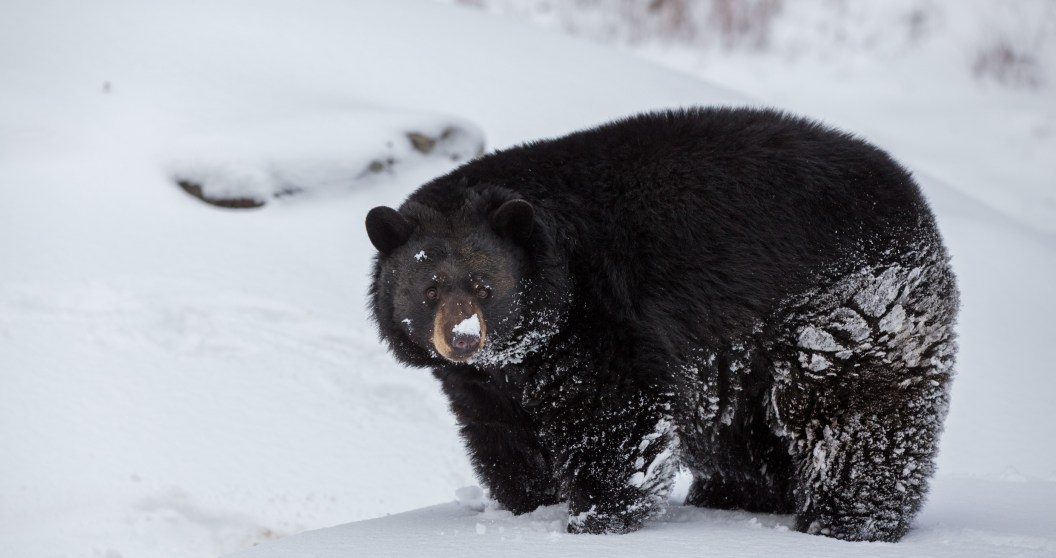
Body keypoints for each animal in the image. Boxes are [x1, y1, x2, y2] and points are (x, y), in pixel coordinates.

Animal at [365, 107, 958, 542]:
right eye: (430, 288)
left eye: (485, 287)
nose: (462, 338)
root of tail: (914, 196)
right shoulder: (479, 382)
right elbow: (500, 436)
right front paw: (529, 509)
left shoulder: (600, 314)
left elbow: (615, 414)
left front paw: (596, 519)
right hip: (744, 355)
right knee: (741, 433)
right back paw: (734, 497)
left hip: (849, 305)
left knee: (854, 413)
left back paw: (848, 520)